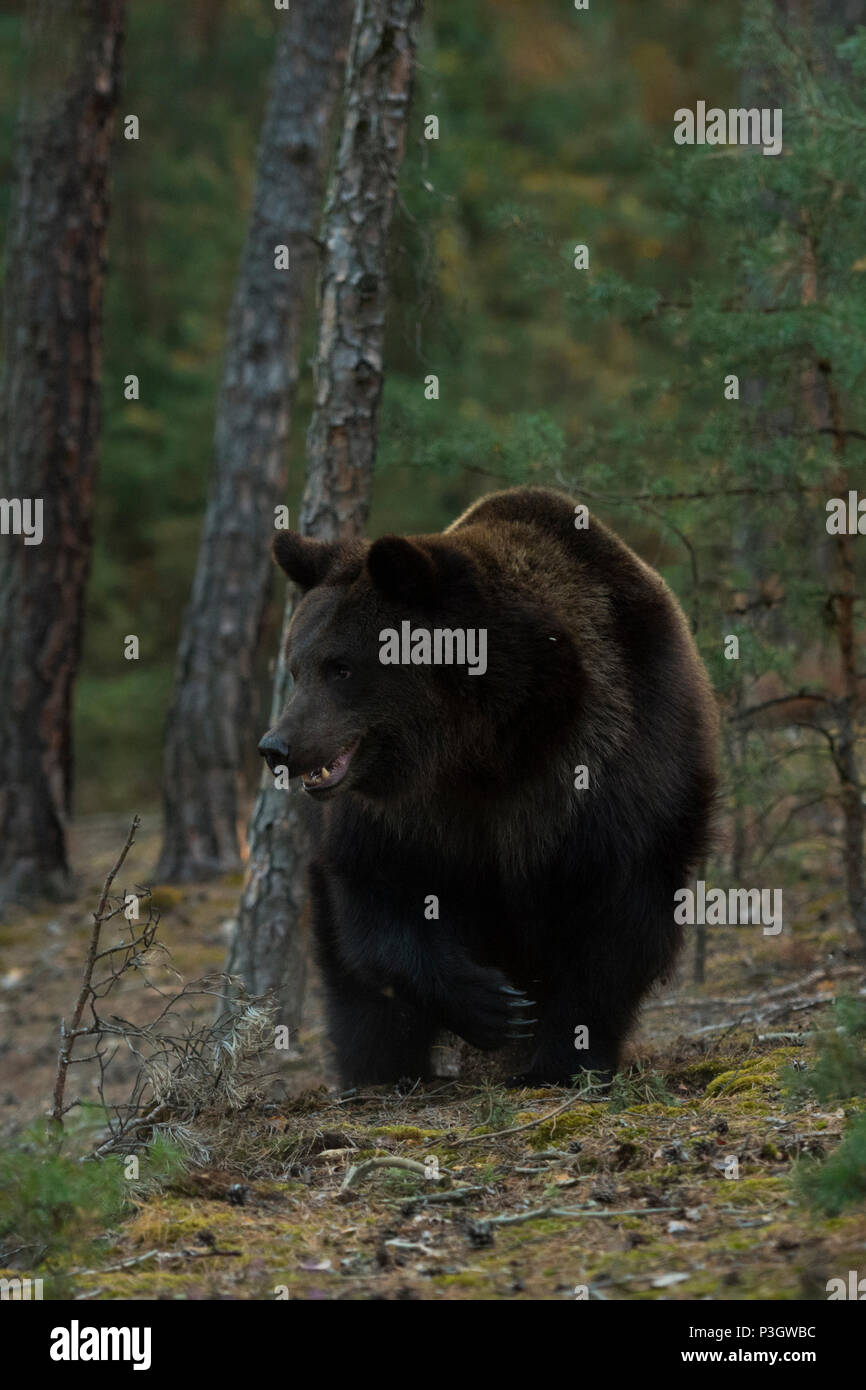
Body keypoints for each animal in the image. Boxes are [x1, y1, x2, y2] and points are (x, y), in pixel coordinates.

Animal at [259, 486, 718, 1087]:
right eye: (296, 667)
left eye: (341, 667)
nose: (277, 746)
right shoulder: (396, 816)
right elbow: (379, 906)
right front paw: (493, 1005)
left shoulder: (609, 769)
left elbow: (615, 922)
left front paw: (563, 1059)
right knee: (354, 982)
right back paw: (379, 1072)